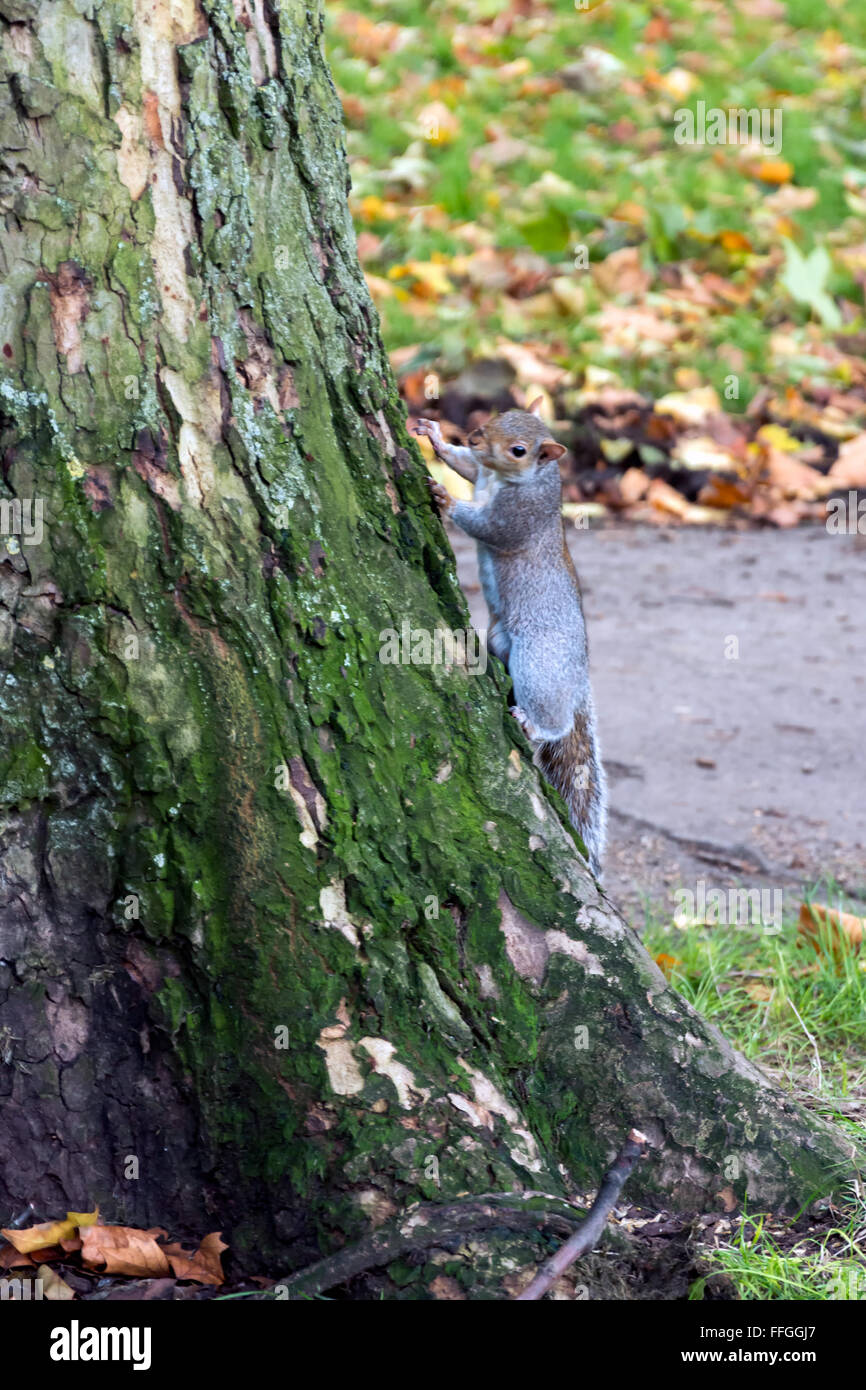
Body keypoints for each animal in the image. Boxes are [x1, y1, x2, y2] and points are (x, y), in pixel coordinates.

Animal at [414, 400, 607, 878]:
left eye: (519, 450)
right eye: (503, 412)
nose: (475, 434)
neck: (510, 478)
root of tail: (578, 676)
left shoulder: (517, 517)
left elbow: (488, 526)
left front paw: (448, 499)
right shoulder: (479, 470)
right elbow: (463, 464)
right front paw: (436, 437)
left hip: (539, 662)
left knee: (555, 724)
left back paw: (533, 724)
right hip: (502, 640)